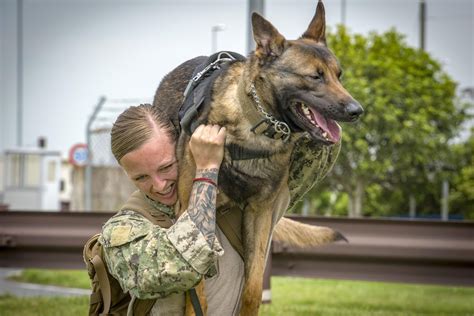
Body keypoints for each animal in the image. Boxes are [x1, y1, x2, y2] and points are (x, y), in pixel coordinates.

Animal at [154, 1, 362, 314]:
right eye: (315, 76)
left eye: (339, 75)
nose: (357, 110)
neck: (255, 126)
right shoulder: (190, 211)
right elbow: (197, 289)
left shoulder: (260, 214)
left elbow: (253, 287)